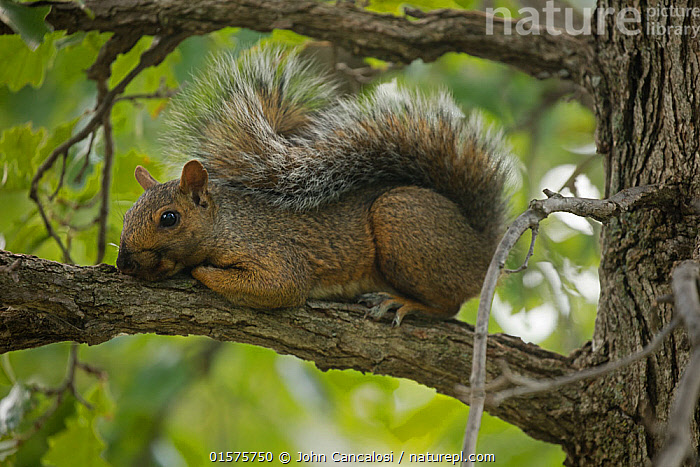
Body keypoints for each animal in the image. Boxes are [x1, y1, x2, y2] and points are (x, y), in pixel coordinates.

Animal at [116, 46, 509, 326]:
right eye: (125, 216)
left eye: (169, 218)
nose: (123, 264)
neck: (227, 223)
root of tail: (482, 246)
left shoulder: (274, 254)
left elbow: (282, 287)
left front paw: (201, 271)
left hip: (402, 220)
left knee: (449, 306)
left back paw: (402, 303)